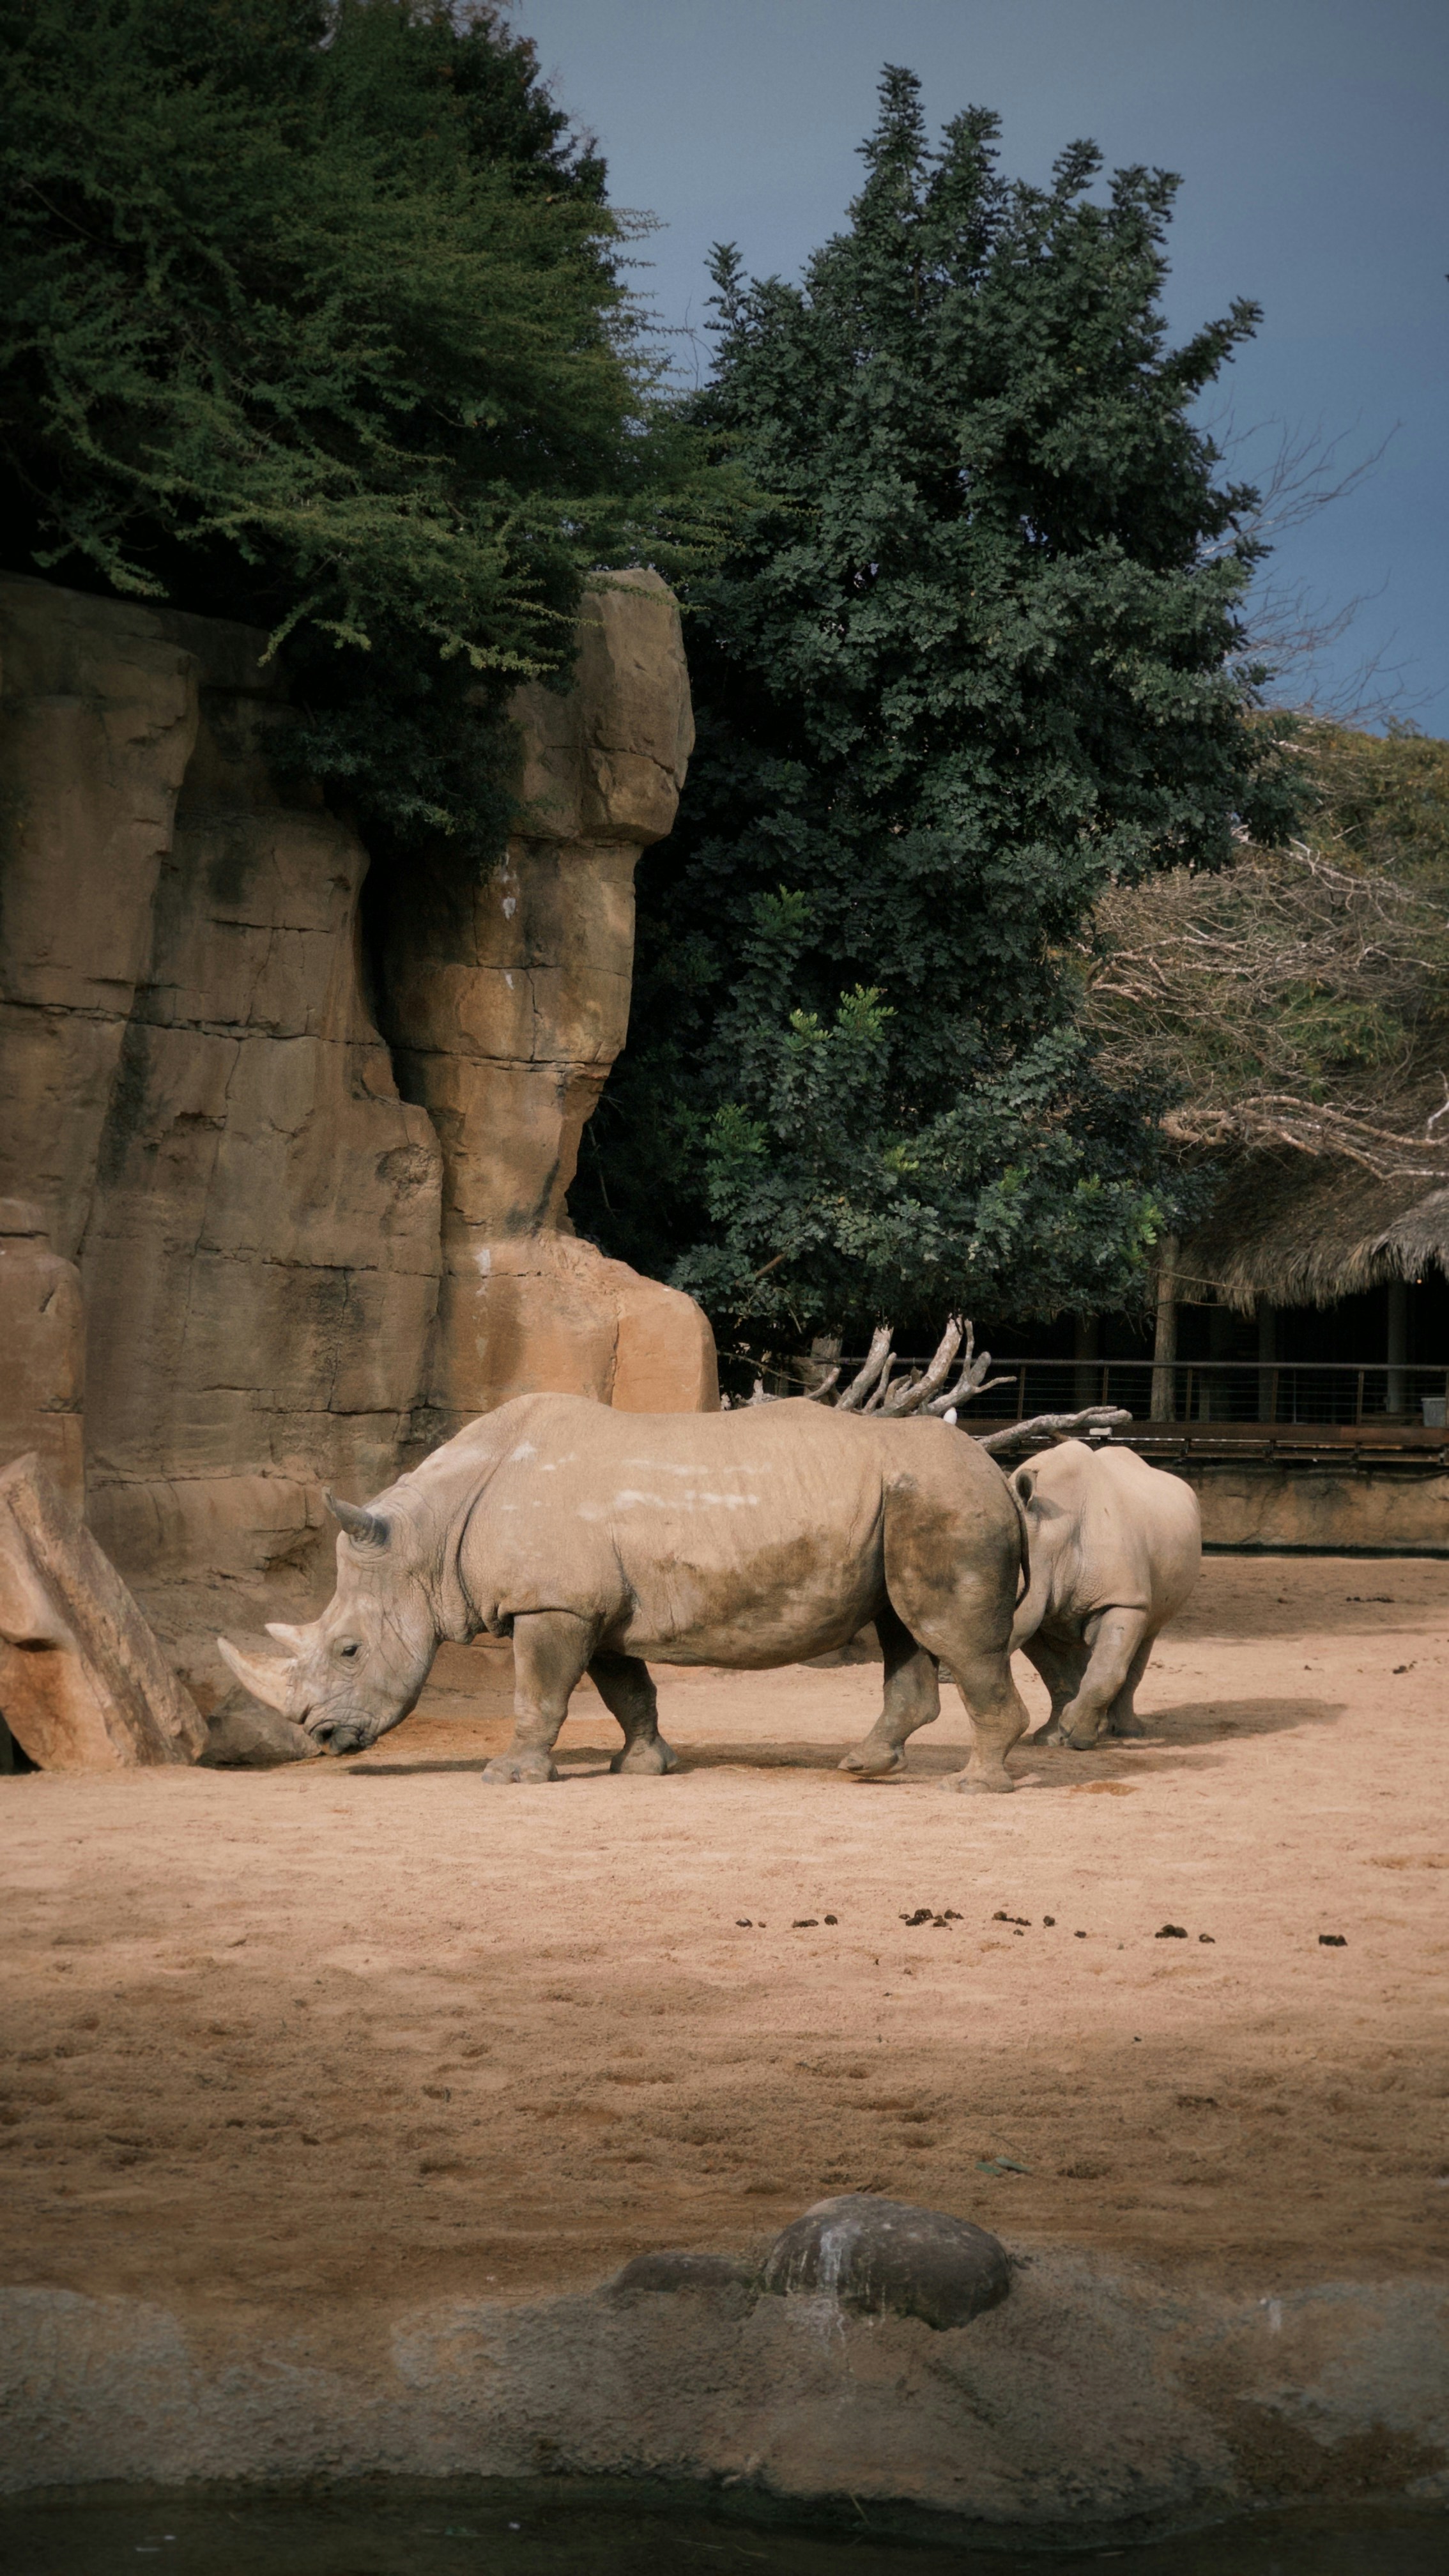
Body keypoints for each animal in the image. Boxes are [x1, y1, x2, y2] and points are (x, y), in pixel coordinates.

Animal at [218, 1392, 1034, 1793]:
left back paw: (973, 1787)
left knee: (952, 1634)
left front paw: (507, 1778)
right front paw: (641, 1769)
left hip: (947, 1499)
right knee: (906, 1627)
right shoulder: (593, 1609)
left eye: (350, 1651)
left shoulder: (553, 1604)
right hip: (913, 1500)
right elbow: (627, 1692)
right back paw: (866, 1767)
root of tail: (1000, 1472)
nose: (323, 1738)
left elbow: (538, 1695)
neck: (425, 1540)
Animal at [1006, 1438, 1202, 1748]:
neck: (1052, 1537)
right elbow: (1054, 1673)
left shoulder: (1123, 1599)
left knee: (1143, 1639)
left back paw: (1129, 1732)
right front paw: (1051, 1738)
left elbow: (1107, 1669)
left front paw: (1077, 1737)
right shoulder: (1036, 1609)